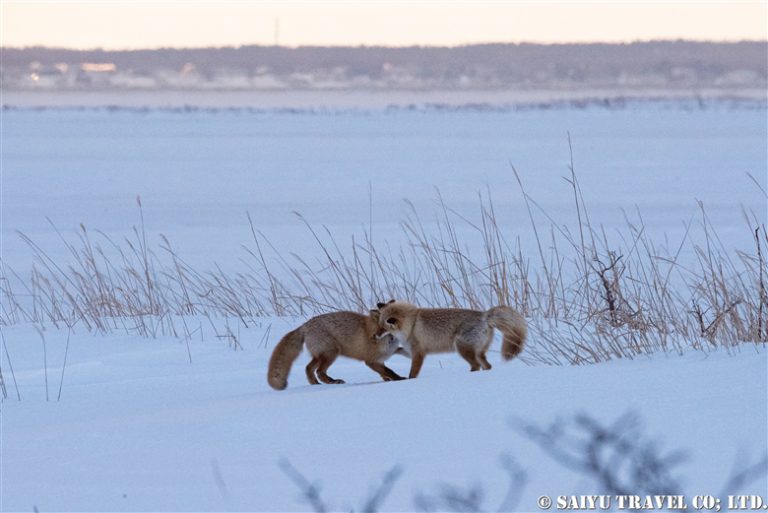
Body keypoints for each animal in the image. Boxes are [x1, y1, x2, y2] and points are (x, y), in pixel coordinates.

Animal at [267, 309, 409, 390]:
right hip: (331, 353)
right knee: (319, 371)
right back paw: (333, 381)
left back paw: (315, 384)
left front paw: (388, 380)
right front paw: (400, 379)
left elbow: (385, 372)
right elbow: (389, 371)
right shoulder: (371, 360)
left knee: (308, 368)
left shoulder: (382, 358)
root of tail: (305, 325)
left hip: (320, 356)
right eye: (384, 323)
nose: (376, 336)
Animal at [374, 300, 527, 379]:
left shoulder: (418, 353)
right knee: (487, 366)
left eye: (382, 327)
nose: (375, 336)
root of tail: (484, 315)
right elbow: (398, 350)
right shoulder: (412, 351)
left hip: (462, 348)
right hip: (478, 352)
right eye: (378, 325)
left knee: (476, 366)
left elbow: (413, 373)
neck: (412, 324)